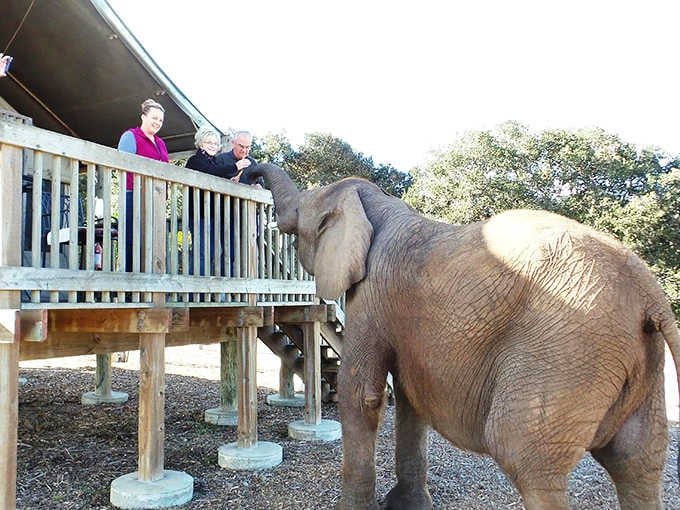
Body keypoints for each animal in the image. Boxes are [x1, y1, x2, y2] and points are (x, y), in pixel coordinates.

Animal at [246, 163, 680, 510]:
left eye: (302, 215)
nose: (246, 170)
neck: (380, 204)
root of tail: (651, 293)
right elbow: (410, 398)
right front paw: (409, 506)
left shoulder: (373, 298)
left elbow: (363, 396)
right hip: (635, 360)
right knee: (637, 460)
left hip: (567, 352)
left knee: (525, 455)